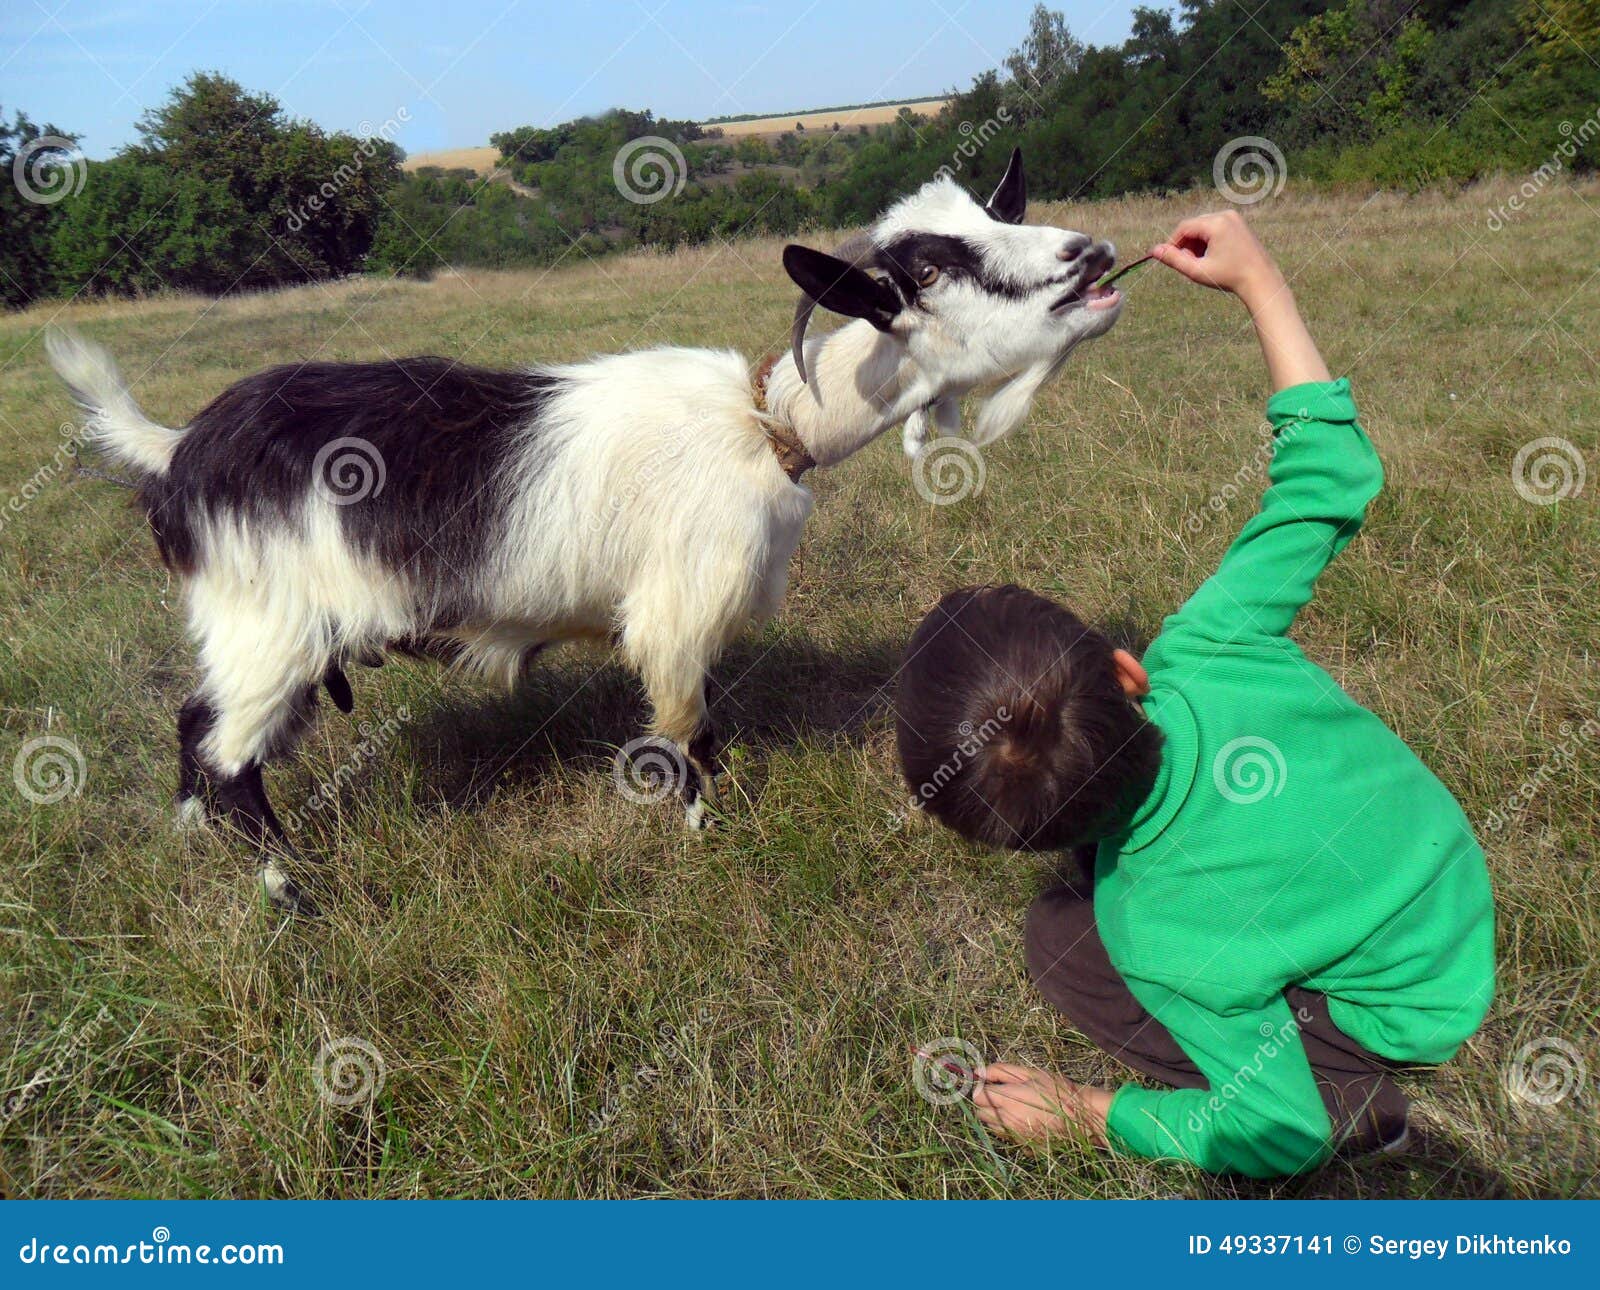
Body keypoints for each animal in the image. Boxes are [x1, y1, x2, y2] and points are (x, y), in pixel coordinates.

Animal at [45, 149, 1123, 909]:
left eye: (994, 214)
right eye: (932, 268)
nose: (1093, 257)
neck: (769, 427)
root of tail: (176, 449)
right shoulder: (676, 611)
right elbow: (689, 729)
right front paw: (705, 836)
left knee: (195, 727)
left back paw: (200, 841)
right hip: (268, 626)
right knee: (225, 752)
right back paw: (287, 890)